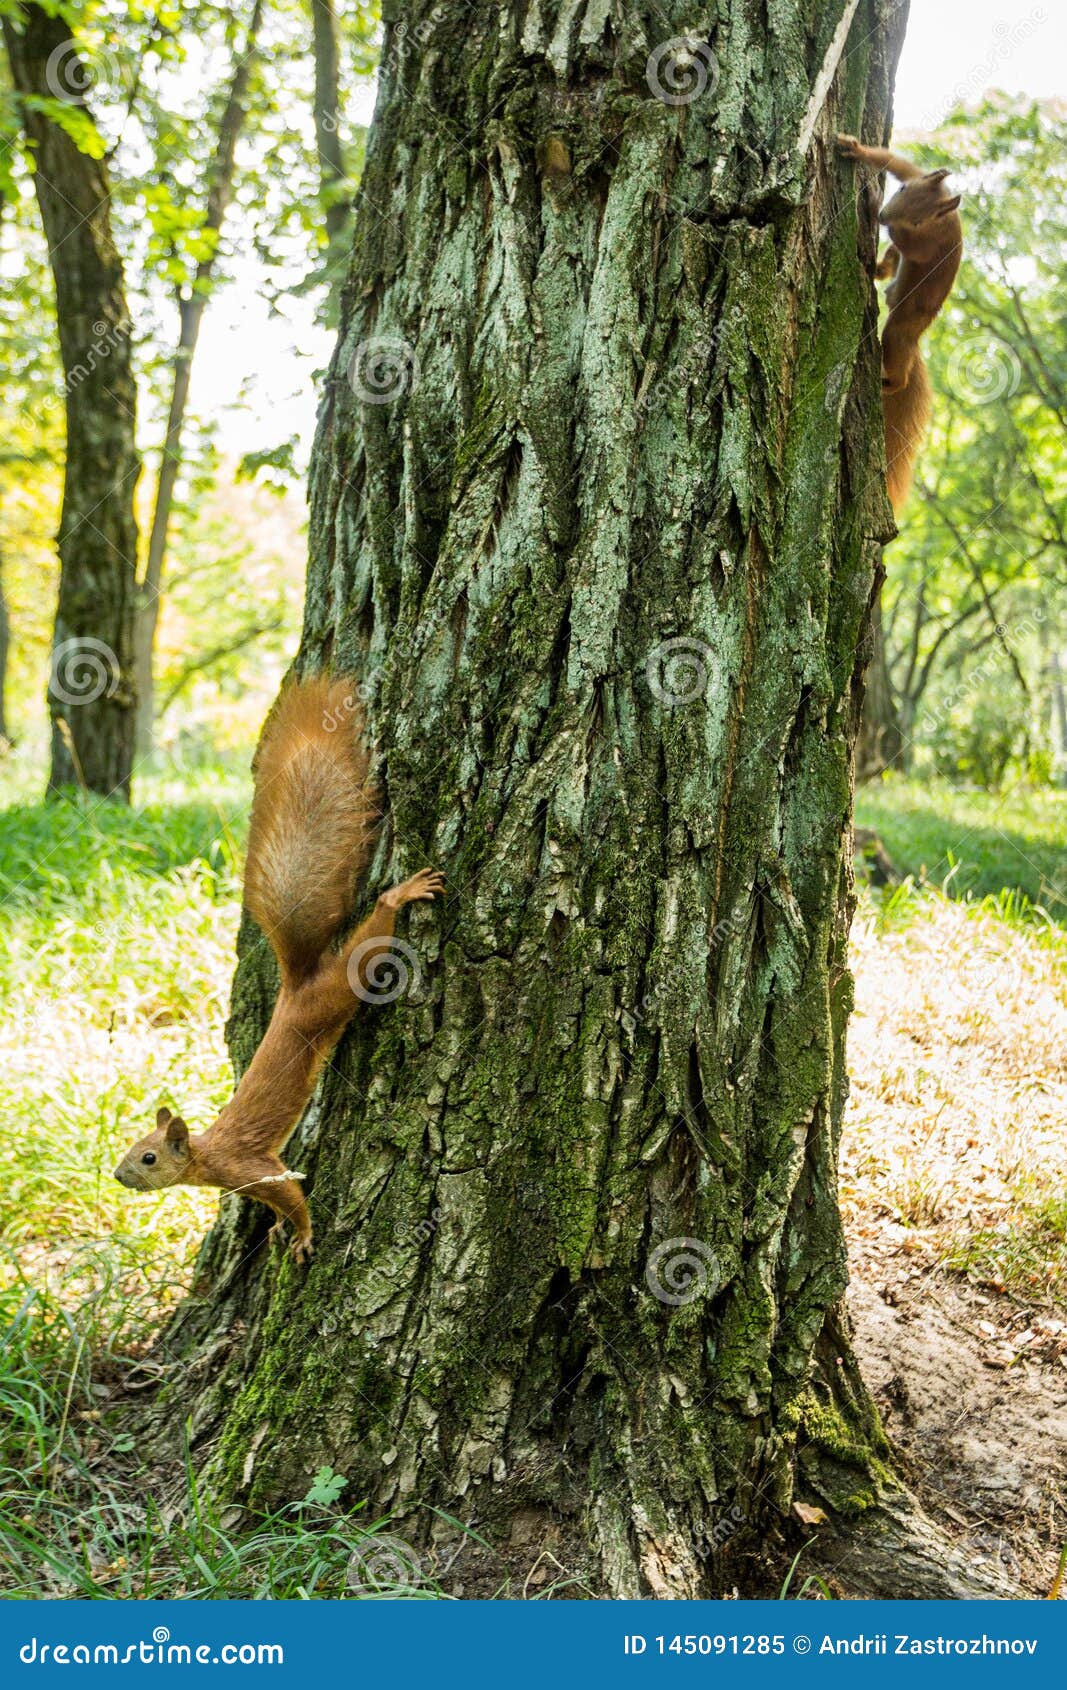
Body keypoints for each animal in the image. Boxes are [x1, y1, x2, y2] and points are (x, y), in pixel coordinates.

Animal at [113, 675, 444, 1263]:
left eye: (149, 1157)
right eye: (134, 1146)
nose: (117, 1175)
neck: (206, 1157)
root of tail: (296, 987)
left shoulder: (251, 1168)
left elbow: (291, 1195)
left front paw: (304, 1234)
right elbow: (277, 1208)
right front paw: (275, 1232)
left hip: (337, 991)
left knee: (370, 936)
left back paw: (400, 895)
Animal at [836, 135, 962, 513]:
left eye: (920, 220)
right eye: (904, 188)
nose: (882, 215)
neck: (946, 222)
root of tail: (918, 337)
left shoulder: (926, 244)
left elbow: (907, 242)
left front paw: (872, 200)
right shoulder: (916, 172)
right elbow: (890, 160)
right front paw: (856, 150)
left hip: (900, 329)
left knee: (898, 360)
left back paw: (888, 382)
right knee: (890, 266)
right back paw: (879, 269)